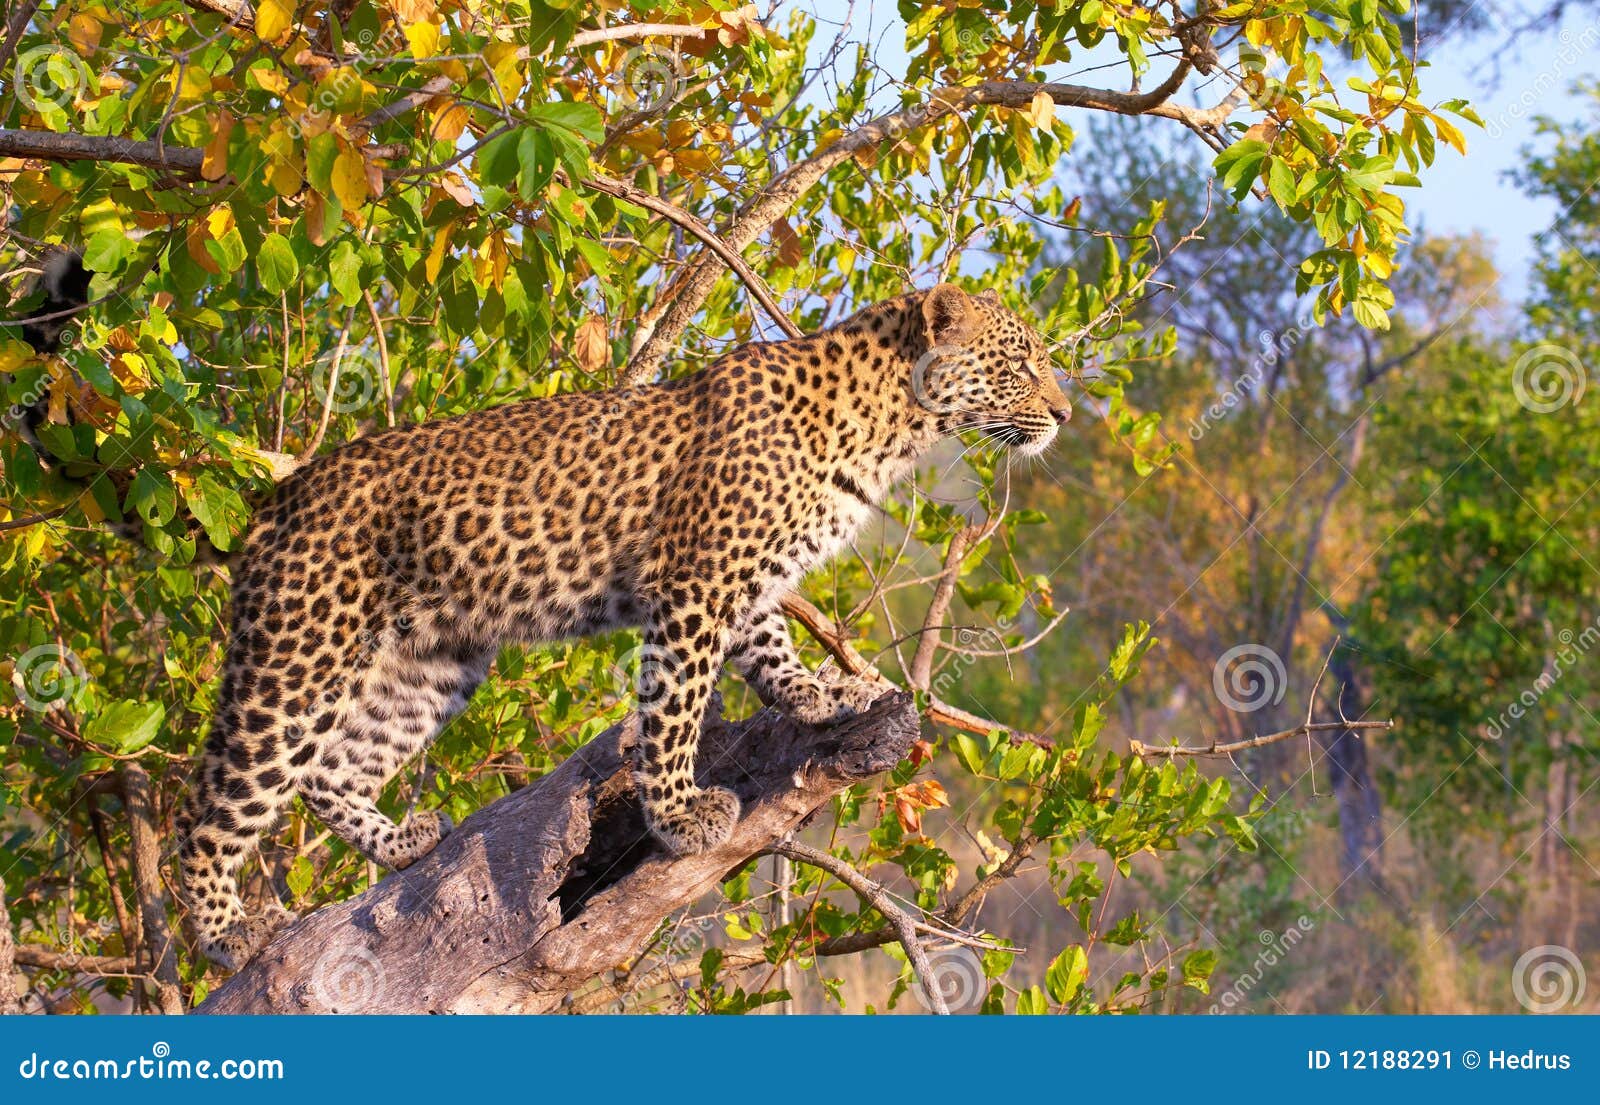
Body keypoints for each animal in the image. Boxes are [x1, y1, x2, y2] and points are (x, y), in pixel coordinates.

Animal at [173, 283, 1073, 970]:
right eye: (1021, 362)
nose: (1064, 412)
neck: (888, 422)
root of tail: (275, 497)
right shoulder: (696, 583)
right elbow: (672, 713)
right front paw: (678, 816)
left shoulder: (746, 585)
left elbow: (773, 653)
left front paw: (825, 695)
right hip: (298, 656)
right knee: (209, 806)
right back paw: (226, 933)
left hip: (430, 662)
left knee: (329, 772)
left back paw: (402, 842)